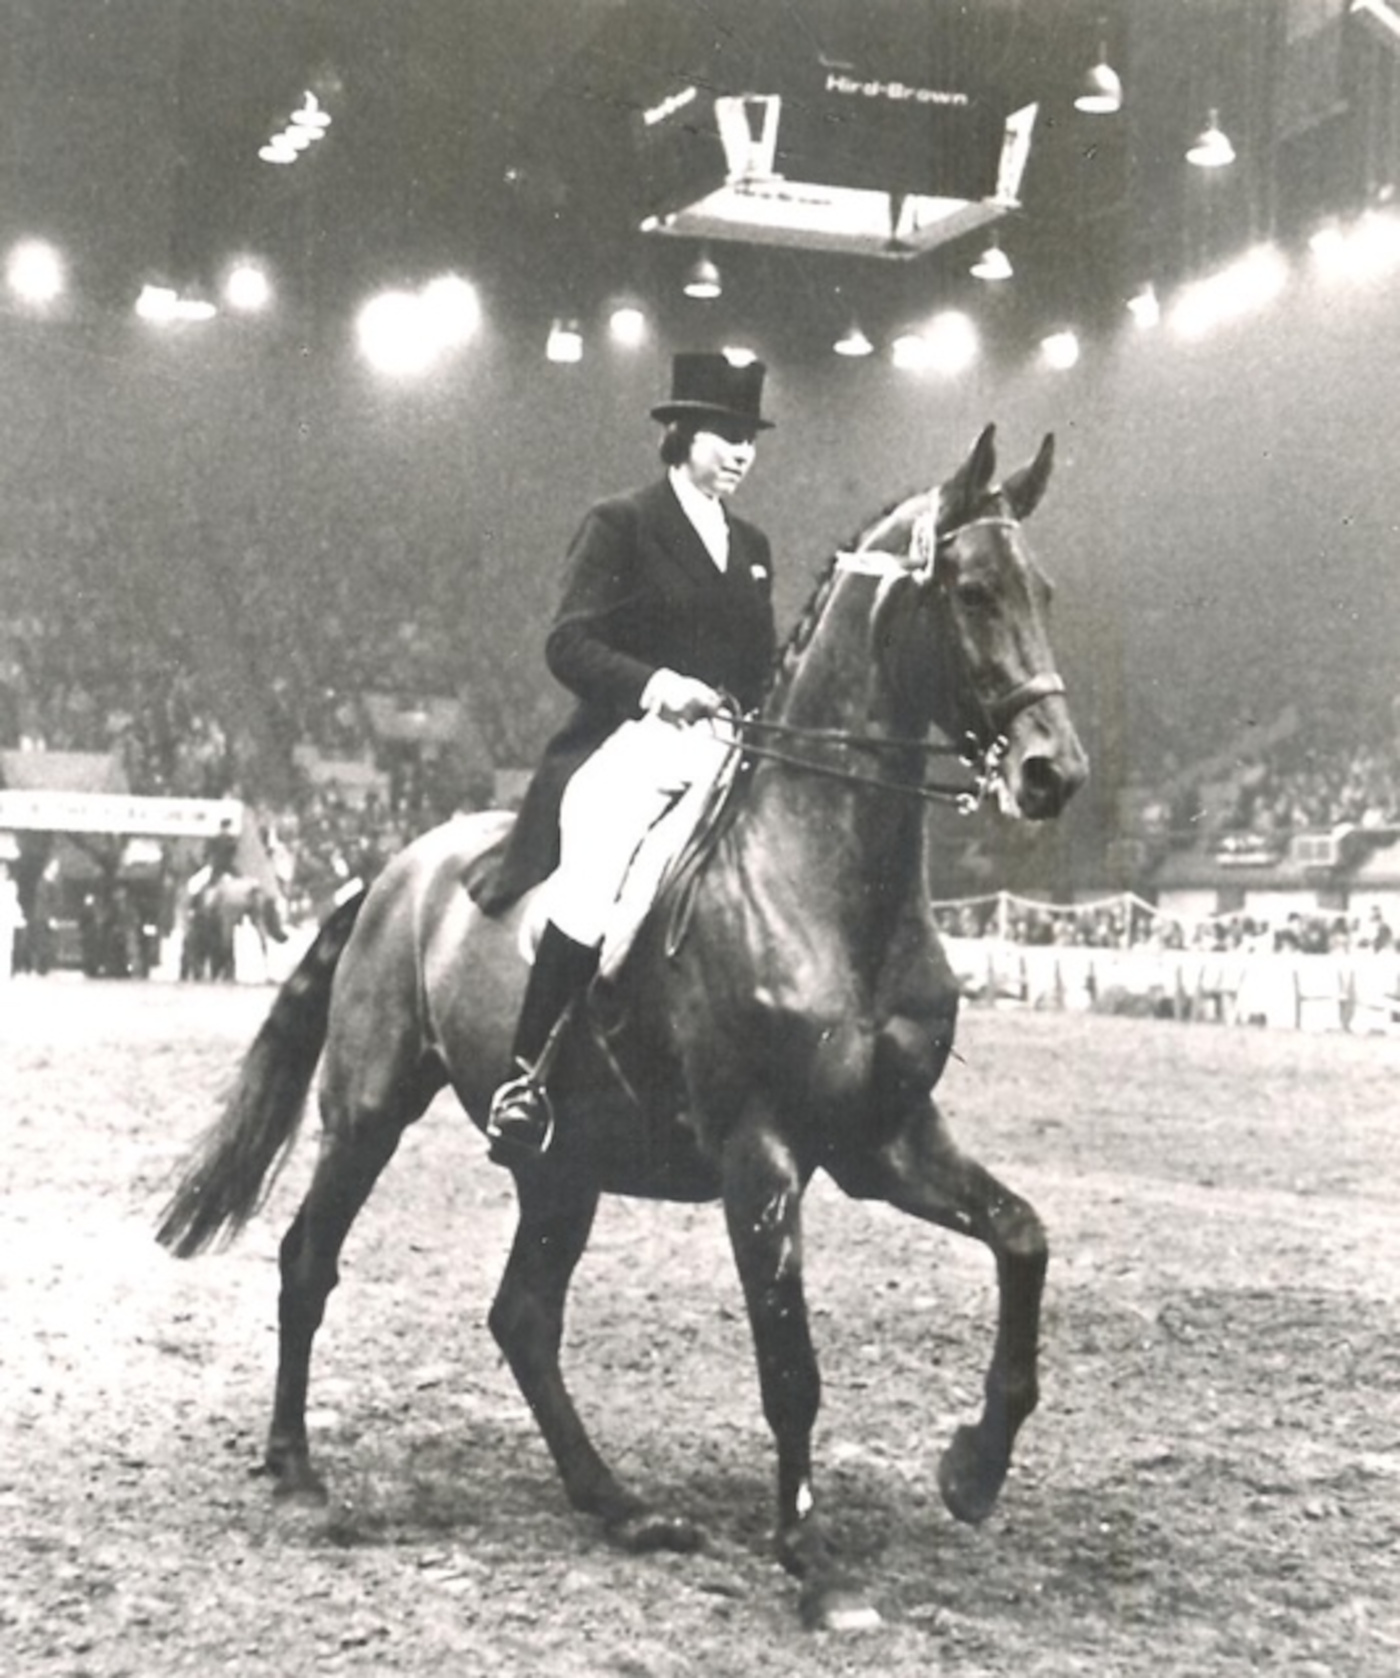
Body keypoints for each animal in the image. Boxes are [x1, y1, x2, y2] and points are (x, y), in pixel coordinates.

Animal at [157, 425, 1089, 1630]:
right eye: (972, 592)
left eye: (1045, 591)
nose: (1052, 772)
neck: (823, 879)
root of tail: (395, 867)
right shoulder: (760, 1154)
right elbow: (790, 1363)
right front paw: (815, 1563)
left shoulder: (884, 1140)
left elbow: (1022, 1238)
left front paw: (972, 1467)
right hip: (367, 1111)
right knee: (309, 1261)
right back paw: (297, 1468)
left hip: (563, 1164)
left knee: (521, 1318)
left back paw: (621, 1506)